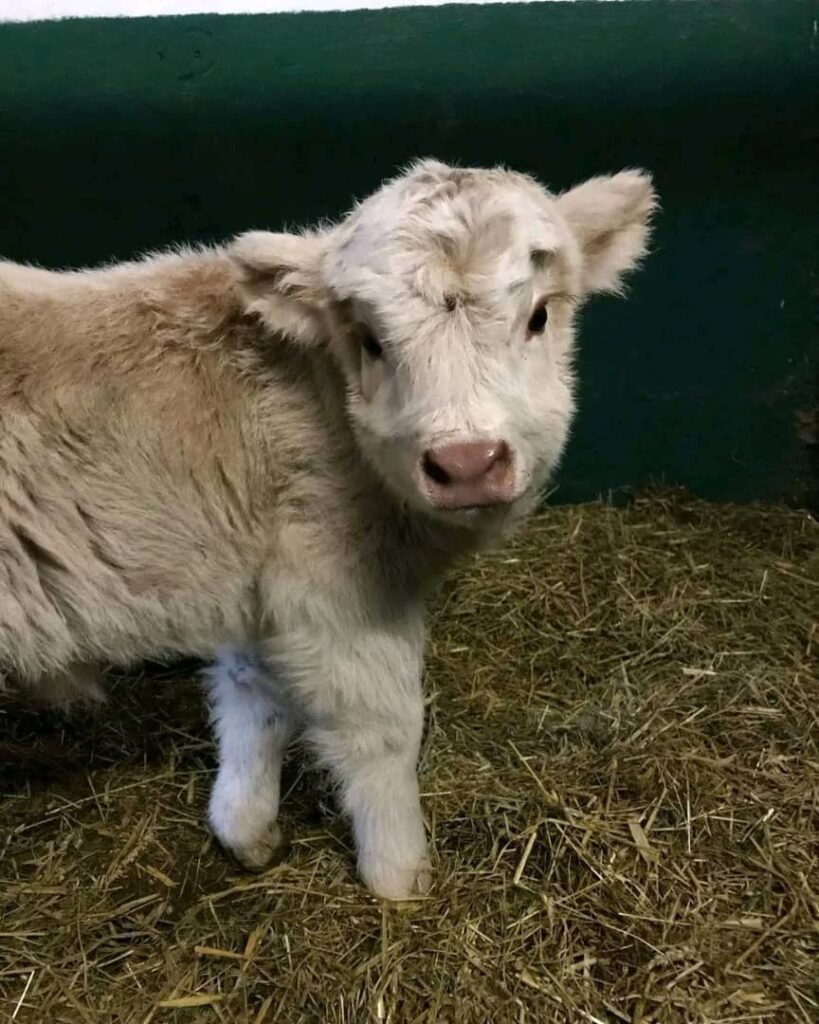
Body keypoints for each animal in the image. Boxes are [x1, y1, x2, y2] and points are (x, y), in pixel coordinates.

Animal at [0, 159, 656, 898]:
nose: (466, 464)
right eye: (370, 340)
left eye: (538, 316)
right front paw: (401, 877)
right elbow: (385, 732)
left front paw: (245, 828)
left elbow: (252, 699)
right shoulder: (339, 592)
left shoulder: (257, 585)